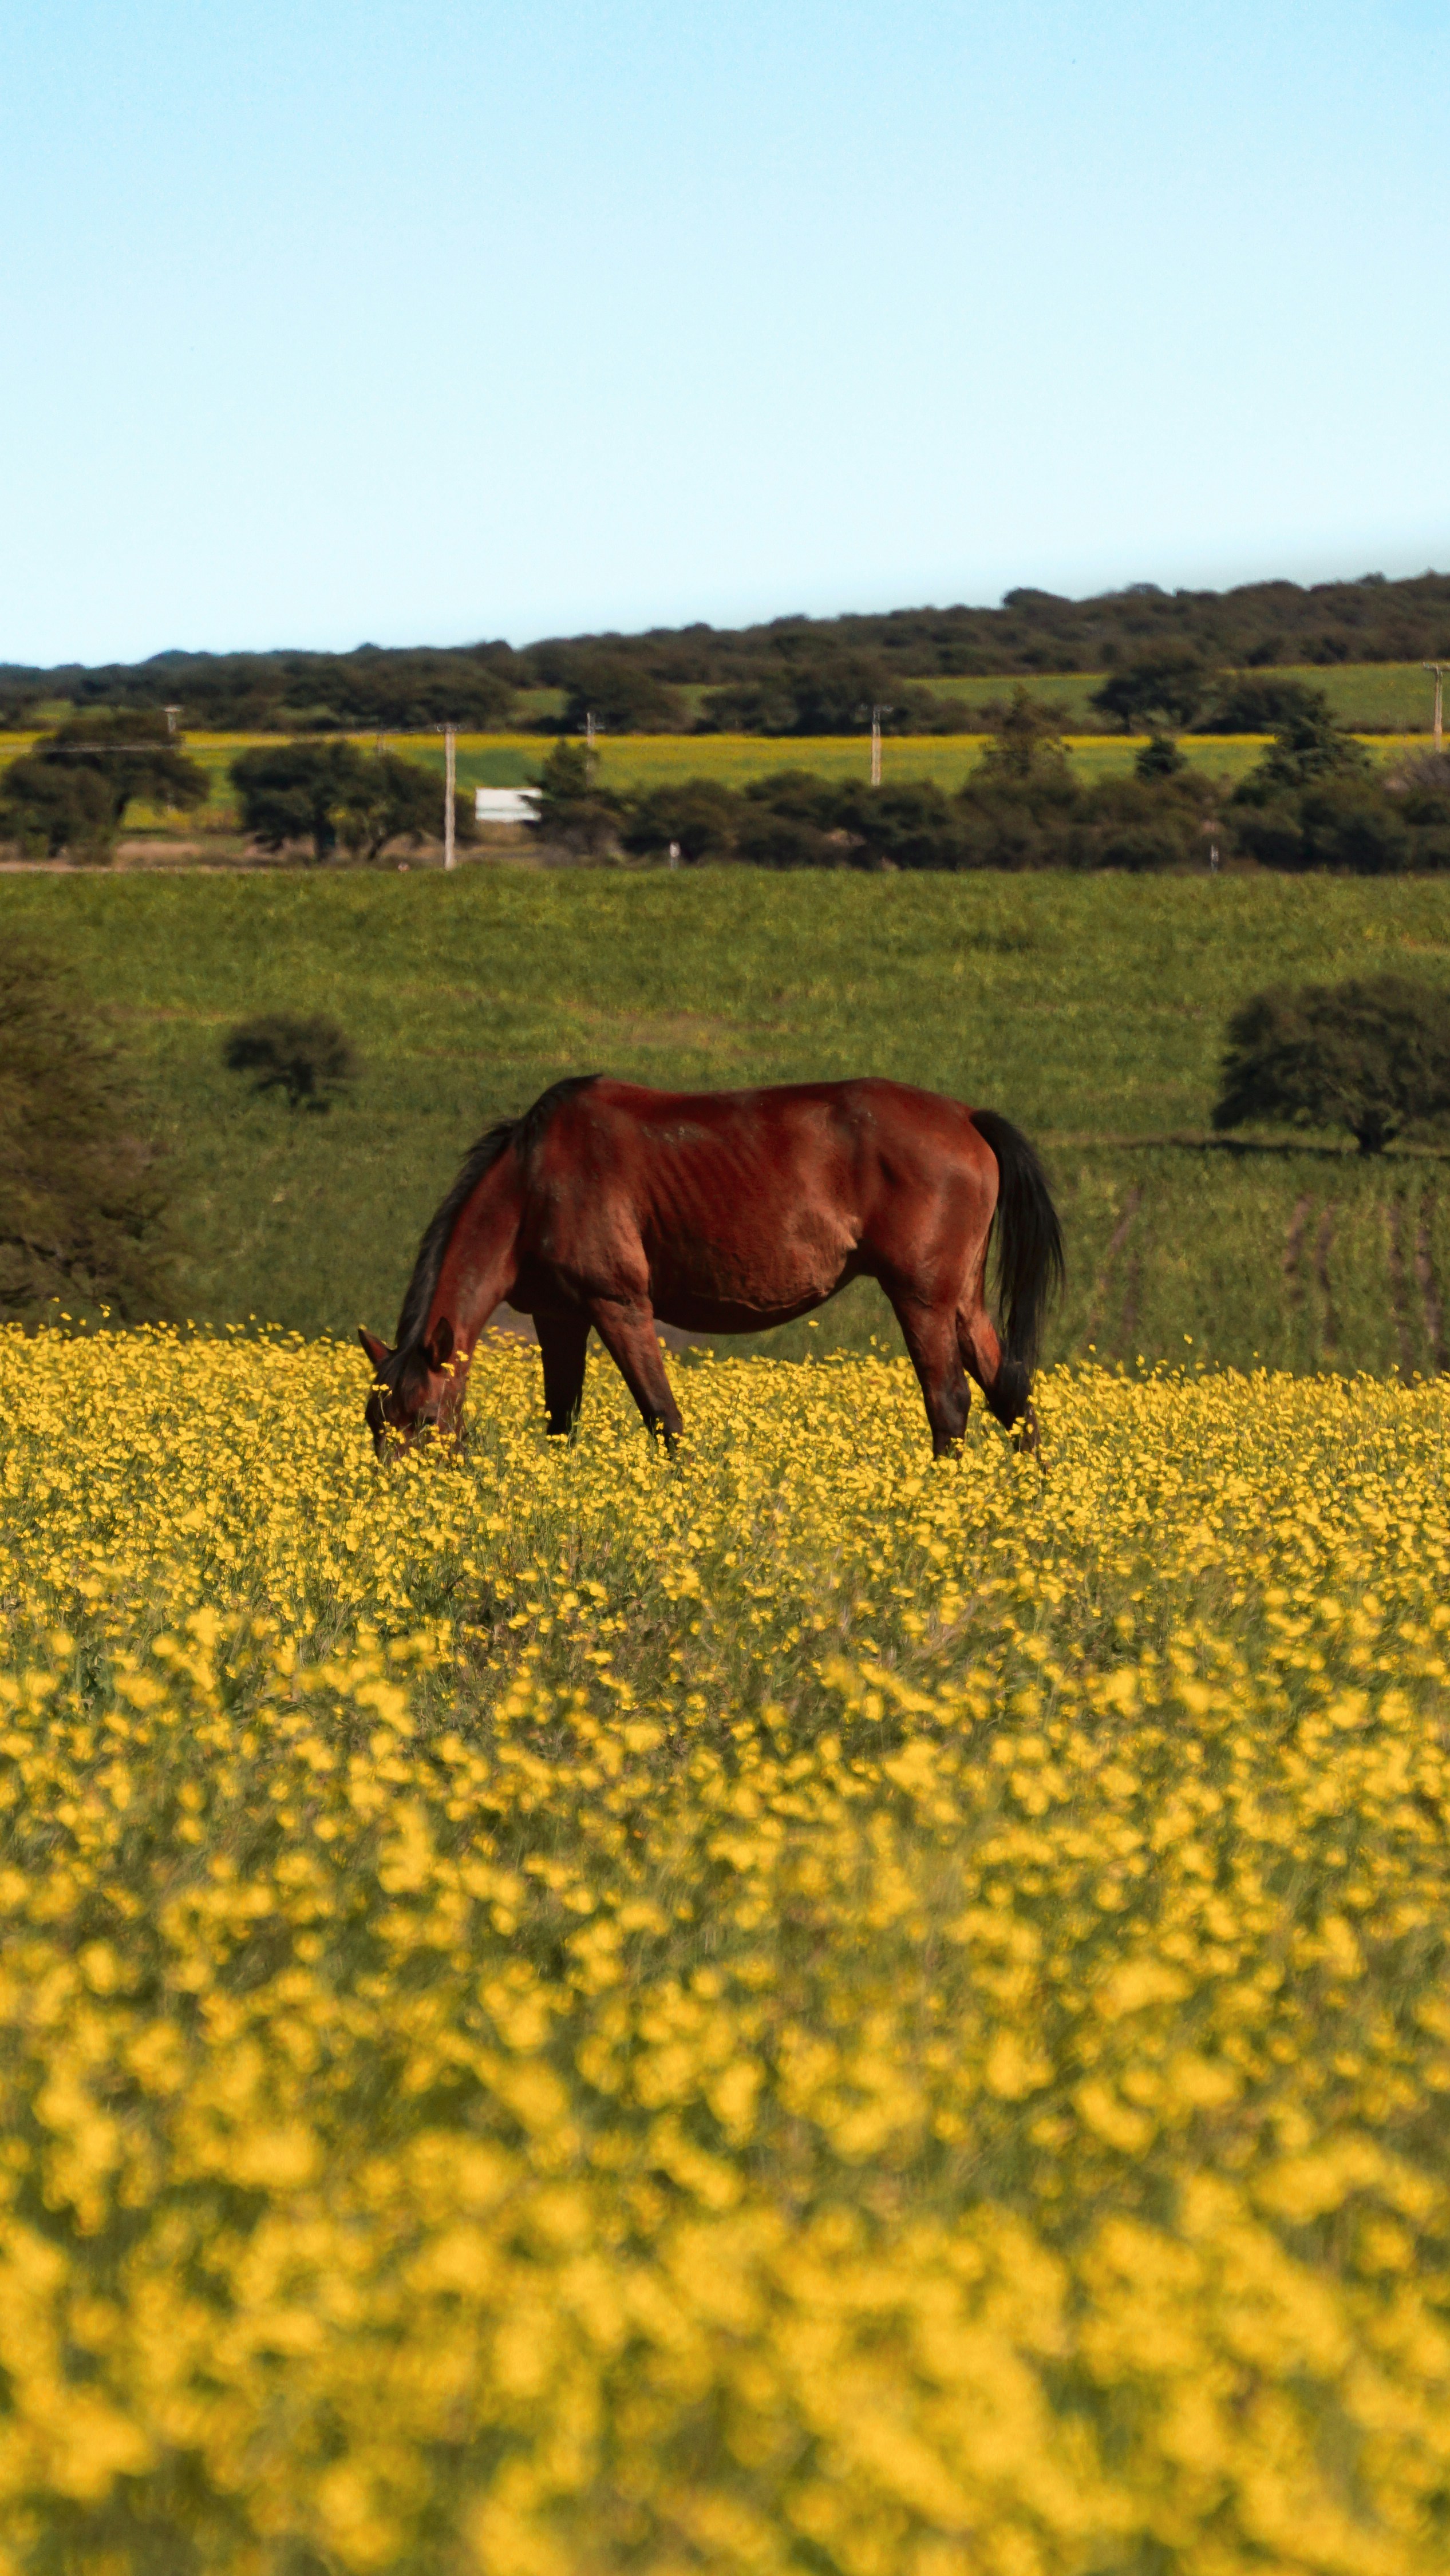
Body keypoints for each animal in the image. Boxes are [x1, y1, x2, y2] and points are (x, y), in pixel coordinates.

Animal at [359, 1074, 1063, 1459]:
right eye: (375, 1422)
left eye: (425, 1419)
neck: (533, 1180)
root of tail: (966, 1118)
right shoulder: (560, 1319)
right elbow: (561, 1422)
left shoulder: (618, 1306)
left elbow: (662, 1417)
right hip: (962, 1302)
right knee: (1011, 1395)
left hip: (921, 1299)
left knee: (949, 1404)